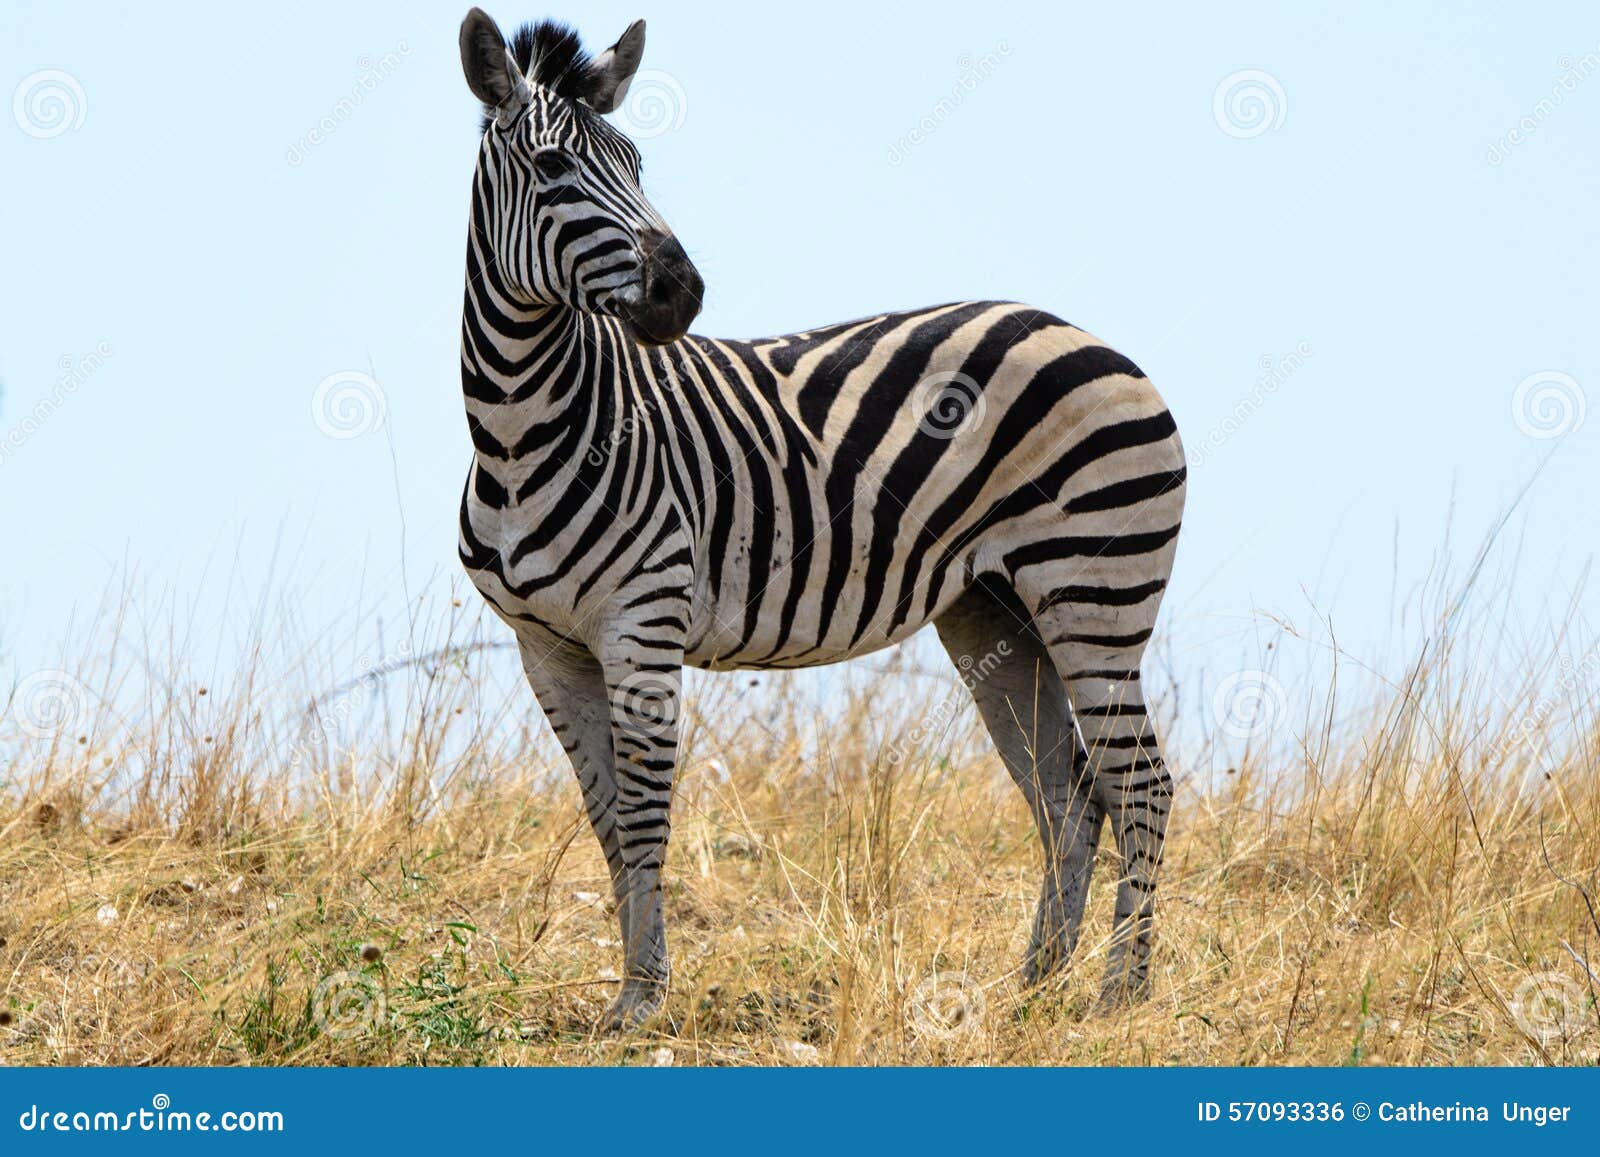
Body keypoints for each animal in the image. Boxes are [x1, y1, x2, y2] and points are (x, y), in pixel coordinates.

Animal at [455, 9, 1186, 1029]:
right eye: (555, 167)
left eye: (638, 162)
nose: (681, 292)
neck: (527, 431)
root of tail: (1088, 336)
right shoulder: (544, 646)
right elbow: (604, 818)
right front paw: (633, 988)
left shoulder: (643, 623)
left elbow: (642, 813)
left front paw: (642, 1000)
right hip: (996, 610)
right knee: (1068, 795)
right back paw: (1034, 989)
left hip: (1094, 589)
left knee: (1140, 782)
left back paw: (1122, 993)